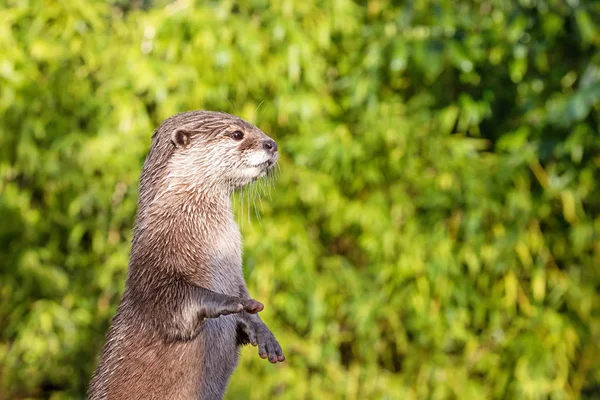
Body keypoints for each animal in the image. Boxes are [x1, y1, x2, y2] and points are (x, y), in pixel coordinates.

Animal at [88, 110, 284, 400]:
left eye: (255, 127)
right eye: (237, 134)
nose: (272, 144)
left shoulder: (236, 275)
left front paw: (262, 332)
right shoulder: (151, 267)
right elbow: (169, 301)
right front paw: (228, 302)